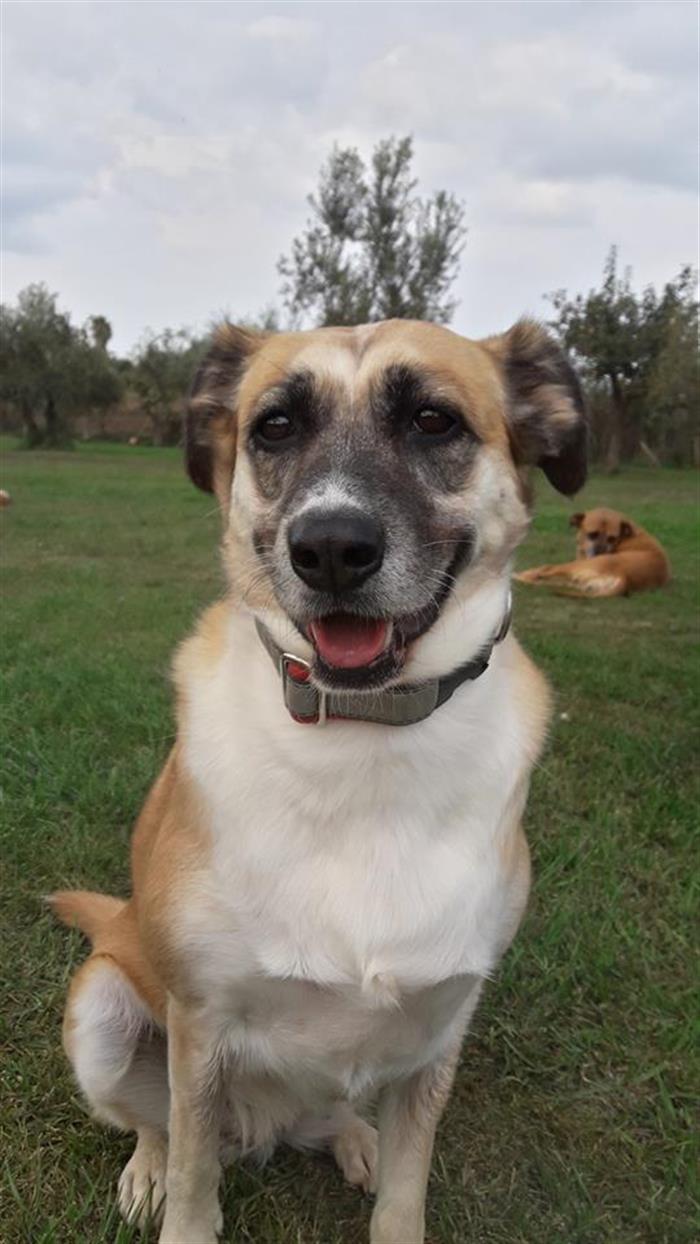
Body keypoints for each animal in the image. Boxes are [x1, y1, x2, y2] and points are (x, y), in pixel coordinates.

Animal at [50, 315, 586, 1239]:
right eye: (275, 427)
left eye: (434, 420)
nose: (331, 548)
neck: (363, 744)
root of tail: (266, 1127)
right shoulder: (200, 1023)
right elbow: (192, 1177)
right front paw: (173, 1196)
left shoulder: (440, 1029)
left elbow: (408, 1192)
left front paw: (387, 1174)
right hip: (105, 1011)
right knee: (156, 1123)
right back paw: (146, 1169)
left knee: (333, 1111)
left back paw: (354, 1139)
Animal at [517, 507, 671, 599]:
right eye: (592, 534)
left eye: (612, 538)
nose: (599, 553)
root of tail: (625, 578)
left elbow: (545, 568)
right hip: (580, 581)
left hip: (574, 567)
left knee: (545, 571)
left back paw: (522, 576)